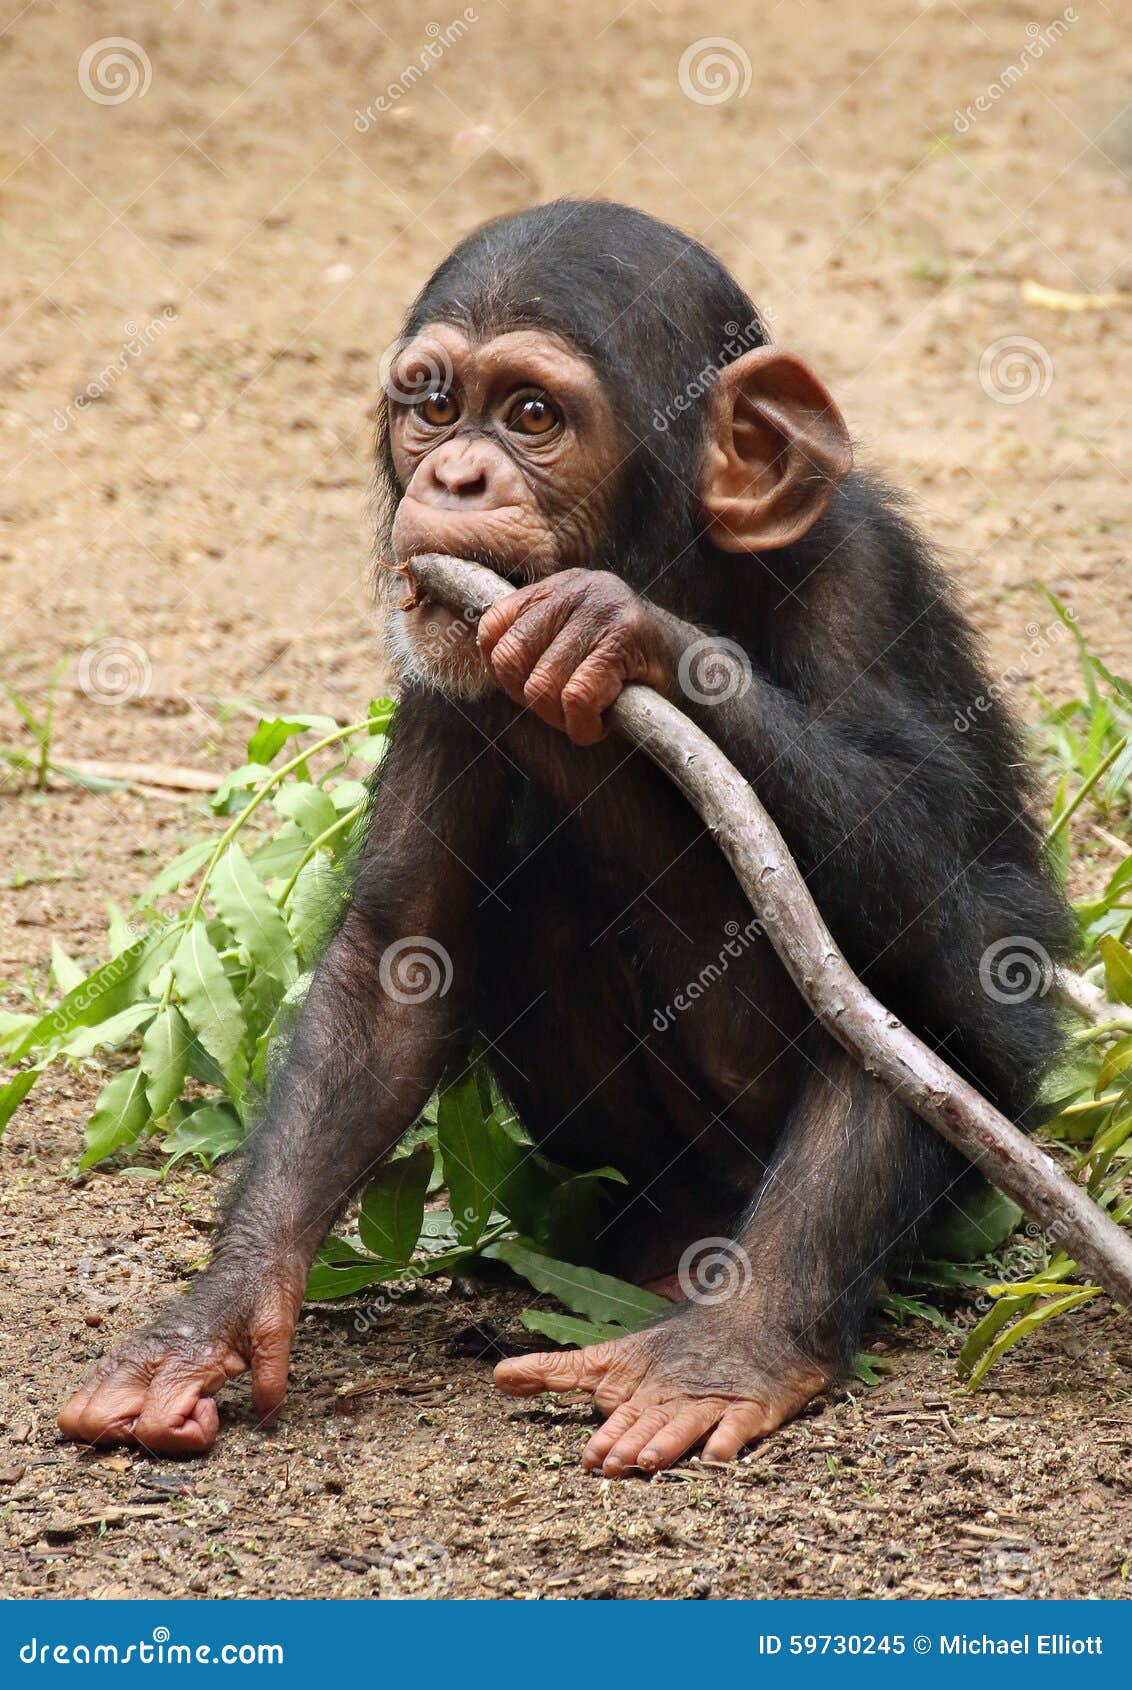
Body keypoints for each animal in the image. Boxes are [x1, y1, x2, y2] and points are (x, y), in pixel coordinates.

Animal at [60, 200, 1074, 1475]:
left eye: (533, 416)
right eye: (433, 405)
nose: (453, 471)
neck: (682, 558)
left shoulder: (866, 578)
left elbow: (979, 926)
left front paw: (618, 631)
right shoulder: (438, 664)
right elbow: (398, 950)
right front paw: (215, 1317)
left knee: (903, 1007)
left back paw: (733, 1343)